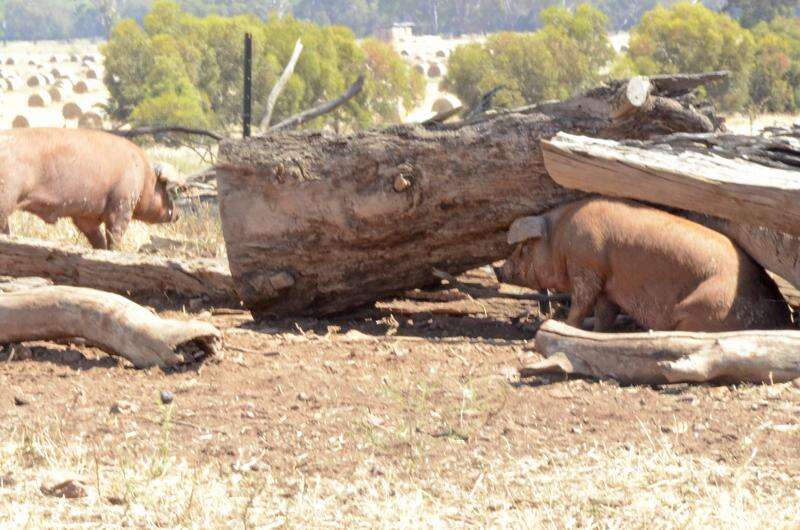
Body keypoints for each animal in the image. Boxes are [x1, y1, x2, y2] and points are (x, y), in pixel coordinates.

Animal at [0, 128, 183, 250]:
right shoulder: (122, 201)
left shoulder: (85, 215)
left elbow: (96, 237)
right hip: (6, 195)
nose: (178, 214)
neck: (145, 176)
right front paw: (116, 251)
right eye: (167, 189)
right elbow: (115, 231)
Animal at [496, 198, 791, 332]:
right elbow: (604, 312)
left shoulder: (586, 265)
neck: (559, 237)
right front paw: (599, 332)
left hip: (707, 304)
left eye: (523, 247)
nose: (499, 270)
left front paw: (566, 325)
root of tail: (781, 320)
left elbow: (582, 303)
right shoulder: (608, 284)